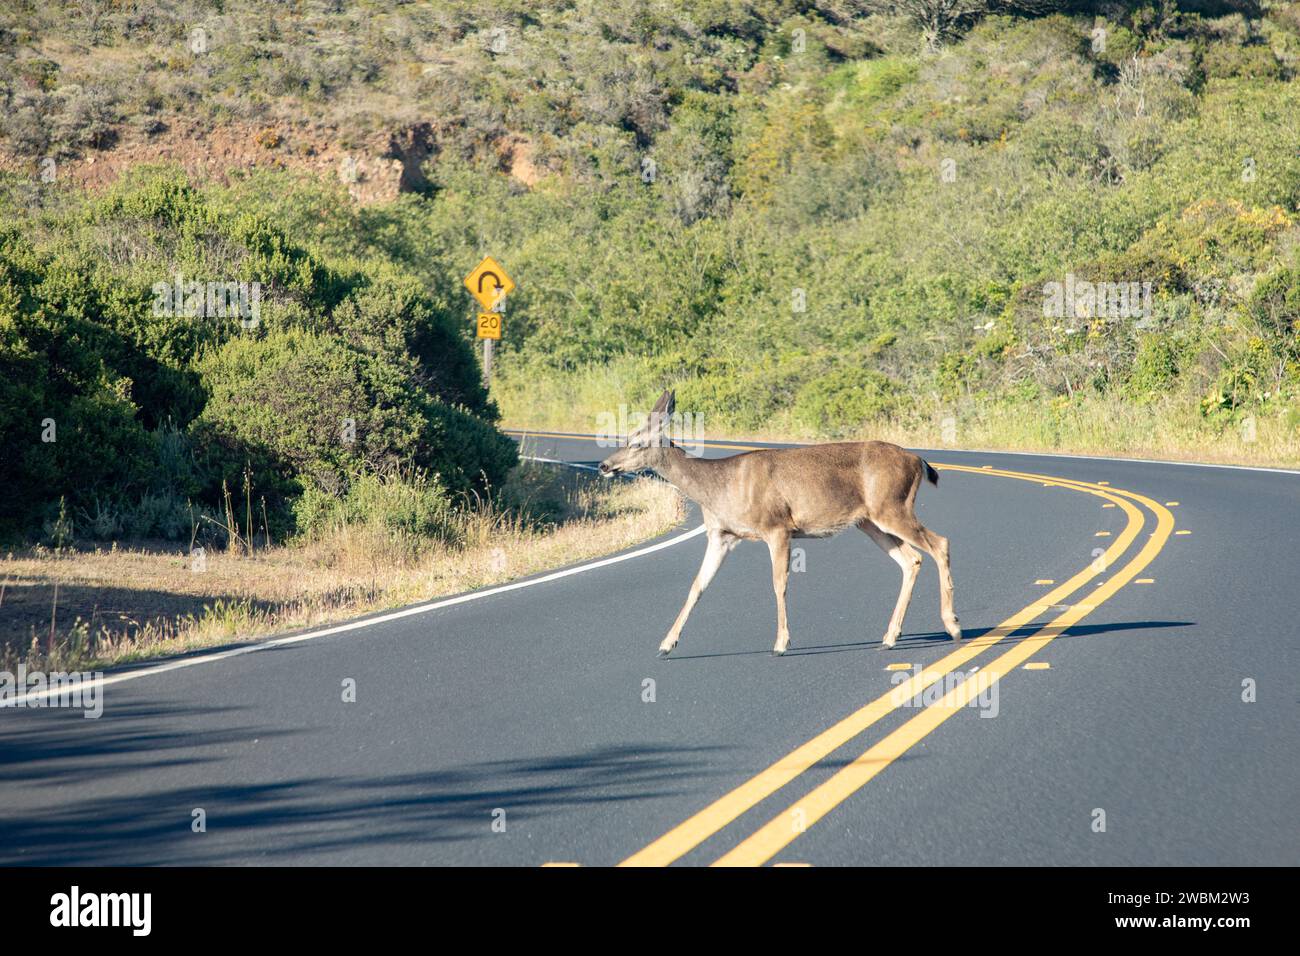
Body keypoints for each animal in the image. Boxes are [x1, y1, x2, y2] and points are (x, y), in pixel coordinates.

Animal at [597, 389, 961, 657]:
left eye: (637, 442)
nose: (604, 465)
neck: (717, 487)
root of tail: (917, 459)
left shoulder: (777, 527)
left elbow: (778, 583)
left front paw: (781, 643)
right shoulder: (721, 535)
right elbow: (697, 586)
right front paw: (666, 644)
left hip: (892, 506)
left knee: (940, 543)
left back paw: (952, 625)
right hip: (870, 521)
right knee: (911, 559)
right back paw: (889, 636)